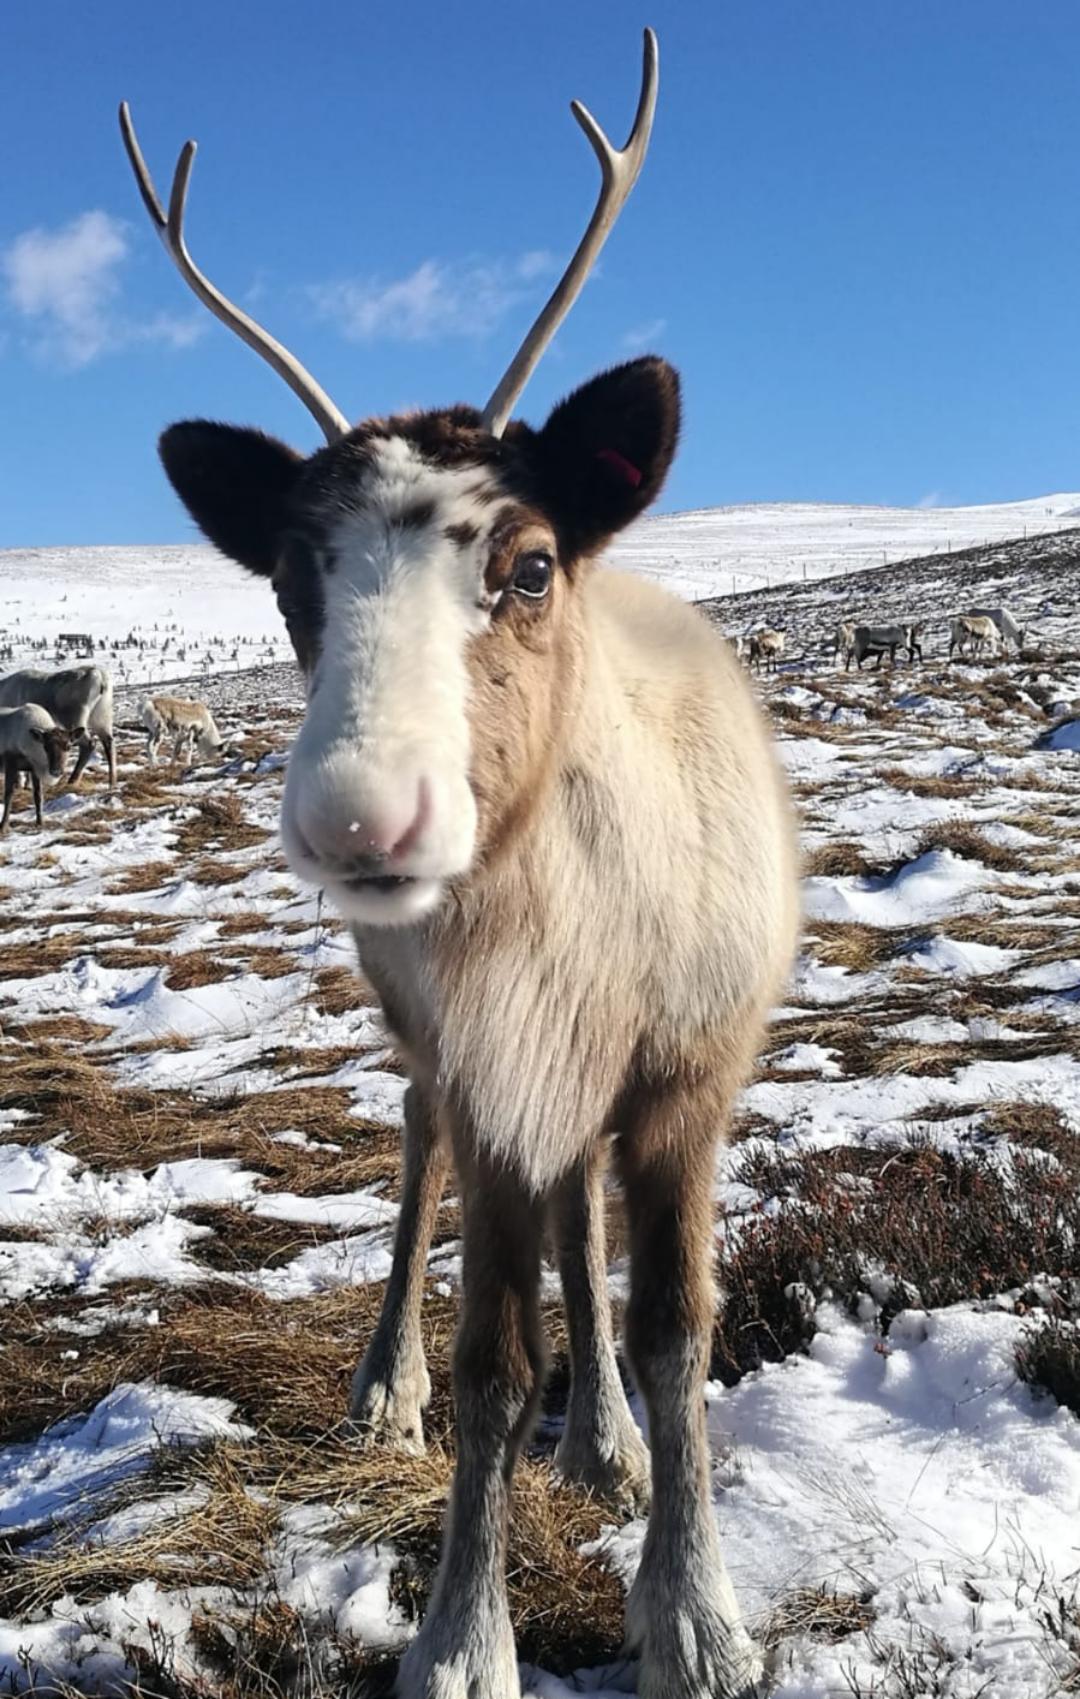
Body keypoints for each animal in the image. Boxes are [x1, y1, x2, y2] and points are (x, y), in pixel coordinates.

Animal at [121, 32, 797, 1699]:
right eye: (293, 577)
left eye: (529, 561)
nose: (361, 817)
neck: (566, 929)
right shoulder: (491, 1072)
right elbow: (493, 1359)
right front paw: (456, 1633)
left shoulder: (687, 1067)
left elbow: (678, 1324)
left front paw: (694, 1607)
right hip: (446, 1056)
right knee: (431, 1155)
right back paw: (389, 1381)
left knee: (584, 1225)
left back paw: (606, 1434)